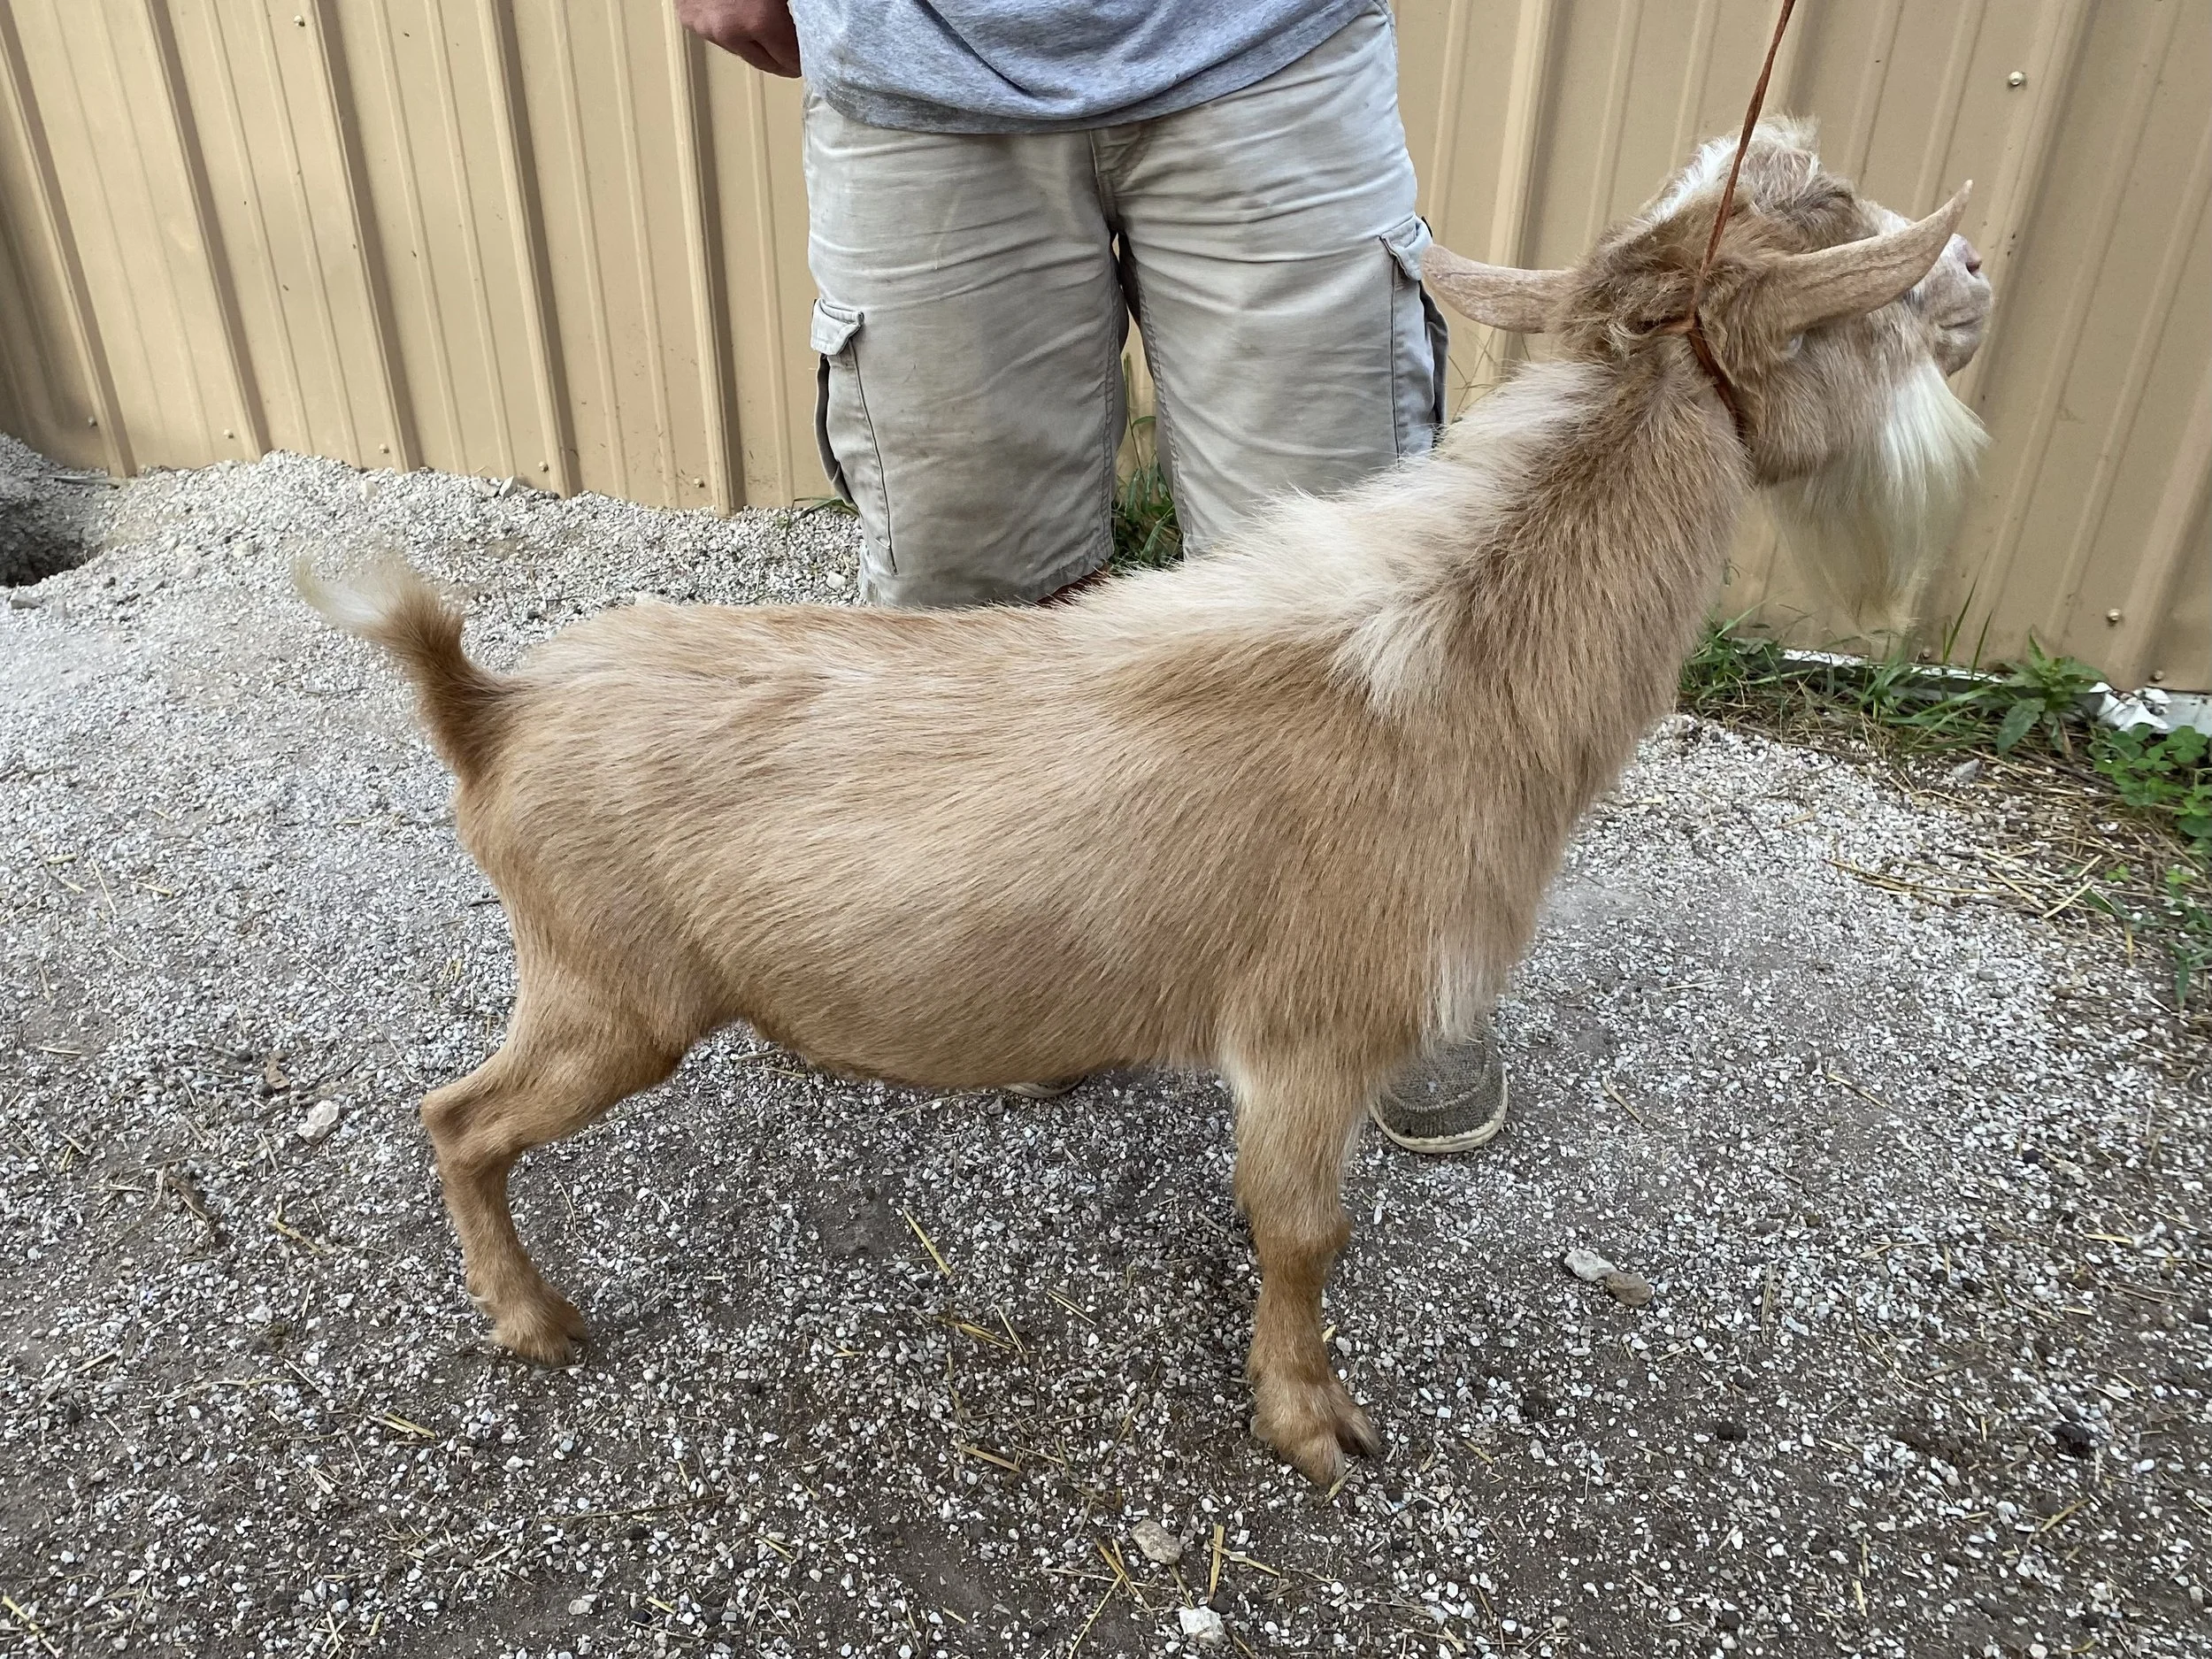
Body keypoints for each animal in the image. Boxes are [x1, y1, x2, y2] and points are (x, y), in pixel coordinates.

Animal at [300, 120, 1991, 1486]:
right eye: (1864, 283)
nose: (1976, 273)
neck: (1451, 674)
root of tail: (489, 709)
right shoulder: (1312, 1032)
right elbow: (1305, 1231)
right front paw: (1312, 1424)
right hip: (609, 987)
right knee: (457, 1118)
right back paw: (534, 1319)